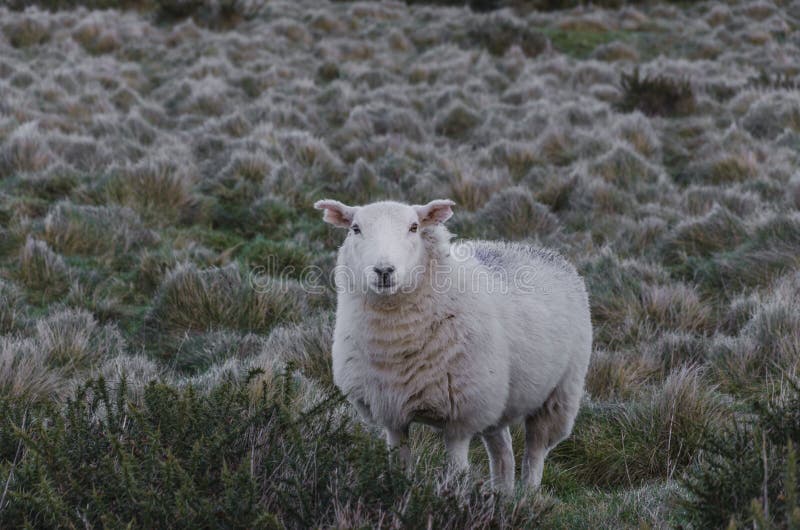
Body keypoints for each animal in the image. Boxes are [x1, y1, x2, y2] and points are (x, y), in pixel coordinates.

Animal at [314, 198, 592, 492]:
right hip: (499, 399)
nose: (383, 271)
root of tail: (545, 253)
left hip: (559, 393)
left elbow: (457, 471)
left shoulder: (461, 416)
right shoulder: (392, 414)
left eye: (414, 227)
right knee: (503, 452)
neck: (395, 344)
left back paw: (528, 494)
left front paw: (454, 496)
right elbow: (400, 466)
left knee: (535, 451)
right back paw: (503, 495)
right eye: (355, 228)